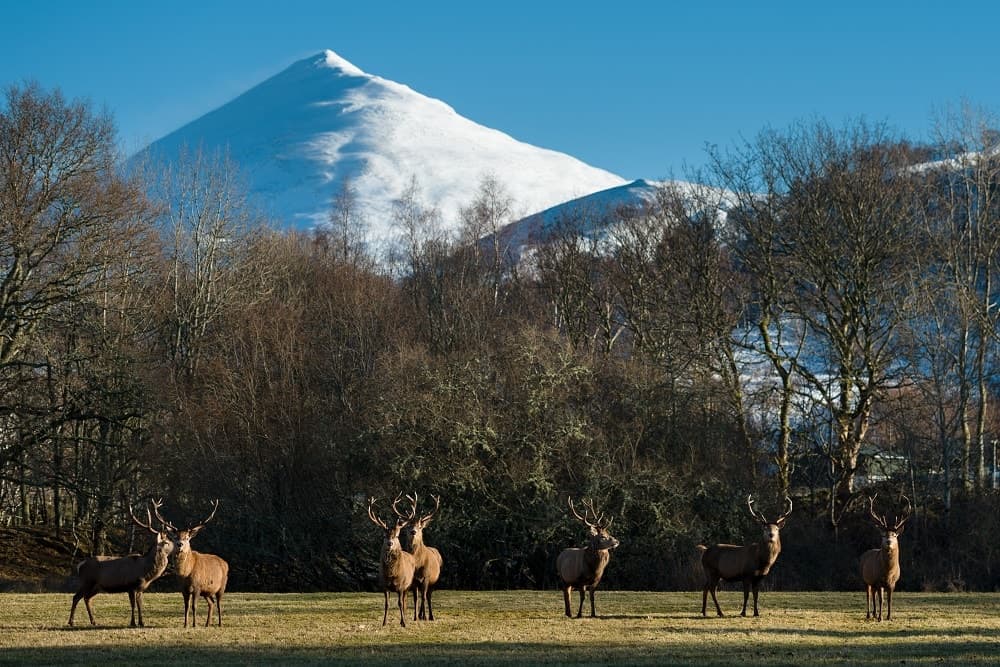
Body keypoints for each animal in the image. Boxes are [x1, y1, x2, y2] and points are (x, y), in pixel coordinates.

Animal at [155, 500, 229, 628]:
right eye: (175, 537)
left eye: (187, 537)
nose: (180, 544)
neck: (186, 574)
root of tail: (225, 563)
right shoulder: (183, 589)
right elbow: (186, 607)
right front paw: (185, 624)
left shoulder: (197, 587)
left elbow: (194, 606)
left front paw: (194, 625)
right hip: (207, 591)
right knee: (211, 603)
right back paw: (207, 624)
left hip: (222, 586)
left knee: (219, 603)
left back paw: (220, 624)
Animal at [368, 498, 414, 628]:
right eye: (384, 536)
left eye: (397, 536)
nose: (390, 543)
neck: (391, 574)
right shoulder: (384, 586)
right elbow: (387, 604)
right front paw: (384, 622)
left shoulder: (401, 585)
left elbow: (400, 603)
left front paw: (404, 623)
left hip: (409, 584)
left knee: (404, 601)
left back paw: (405, 620)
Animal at [392, 494, 444, 624]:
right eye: (409, 525)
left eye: (420, 526)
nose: (413, 531)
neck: (418, 562)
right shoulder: (414, 580)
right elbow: (416, 598)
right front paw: (416, 617)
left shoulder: (426, 576)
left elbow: (424, 597)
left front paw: (424, 617)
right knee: (422, 595)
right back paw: (421, 615)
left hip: (434, 580)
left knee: (428, 596)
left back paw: (430, 616)